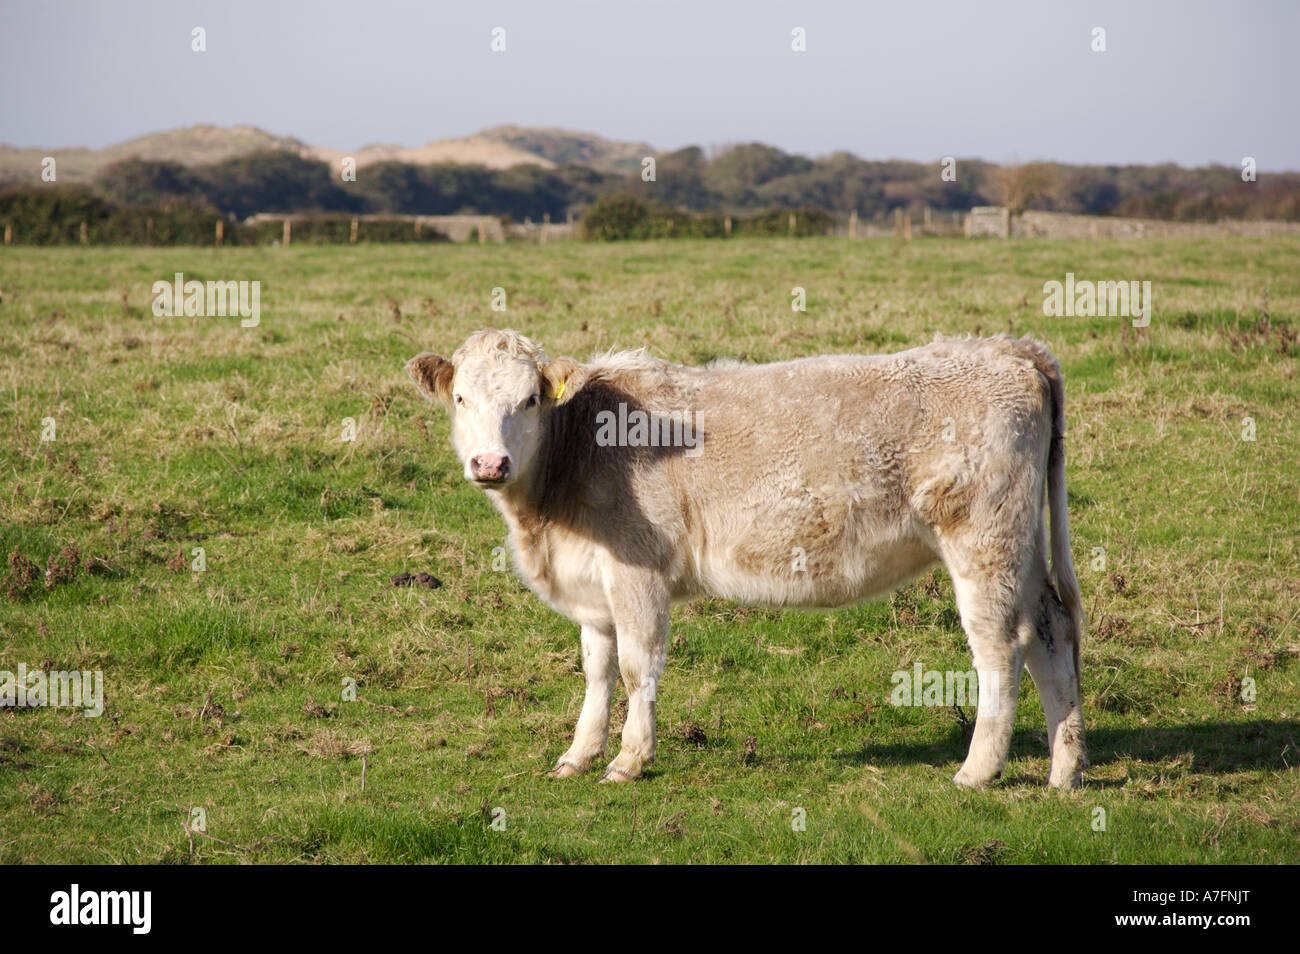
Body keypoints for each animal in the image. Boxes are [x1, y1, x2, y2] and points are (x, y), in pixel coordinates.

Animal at [407, 329, 1086, 789]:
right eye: (461, 398)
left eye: (528, 400)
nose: (490, 463)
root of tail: (1007, 348)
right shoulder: (593, 585)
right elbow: (597, 671)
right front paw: (578, 755)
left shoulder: (637, 572)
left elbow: (636, 666)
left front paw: (629, 759)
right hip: (1021, 548)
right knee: (1050, 631)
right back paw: (1066, 769)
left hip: (982, 540)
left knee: (1000, 646)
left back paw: (978, 769)